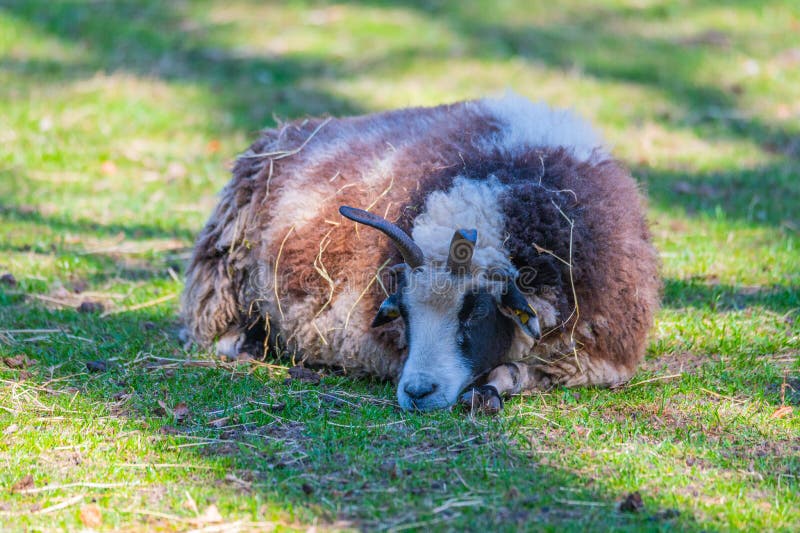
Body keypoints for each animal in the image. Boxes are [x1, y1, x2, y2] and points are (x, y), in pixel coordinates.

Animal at [181, 92, 661, 412]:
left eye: (477, 310)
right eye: (404, 313)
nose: (417, 392)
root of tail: (284, 132)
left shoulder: (595, 360)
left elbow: (516, 373)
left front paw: (491, 389)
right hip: (223, 271)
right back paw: (244, 344)